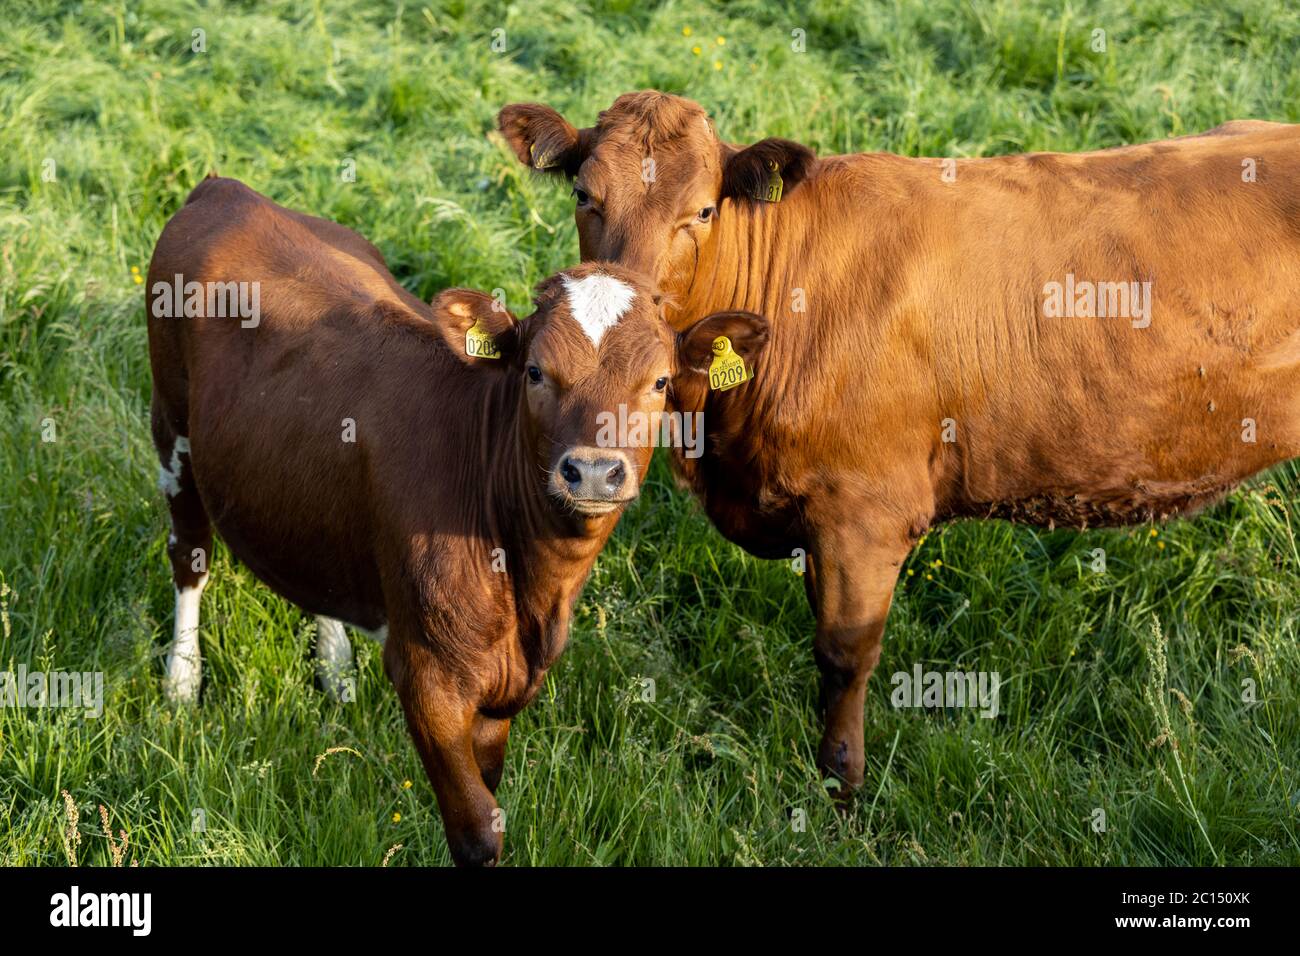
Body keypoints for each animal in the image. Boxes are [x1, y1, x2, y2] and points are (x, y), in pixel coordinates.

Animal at [146, 175, 763, 864]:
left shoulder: (504, 690)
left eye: (659, 383)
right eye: (535, 372)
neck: (530, 587)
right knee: (190, 555)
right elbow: (476, 832)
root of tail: (227, 190)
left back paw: (335, 670)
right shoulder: (428, 679)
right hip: (172, 423)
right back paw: (181, 682)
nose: (594, 471)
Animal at [498, 91, 1300, 794]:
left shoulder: (866, 513)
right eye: (584, 195)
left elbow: (843, 652)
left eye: (701, 210)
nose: (625, 323)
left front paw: (842, 783)